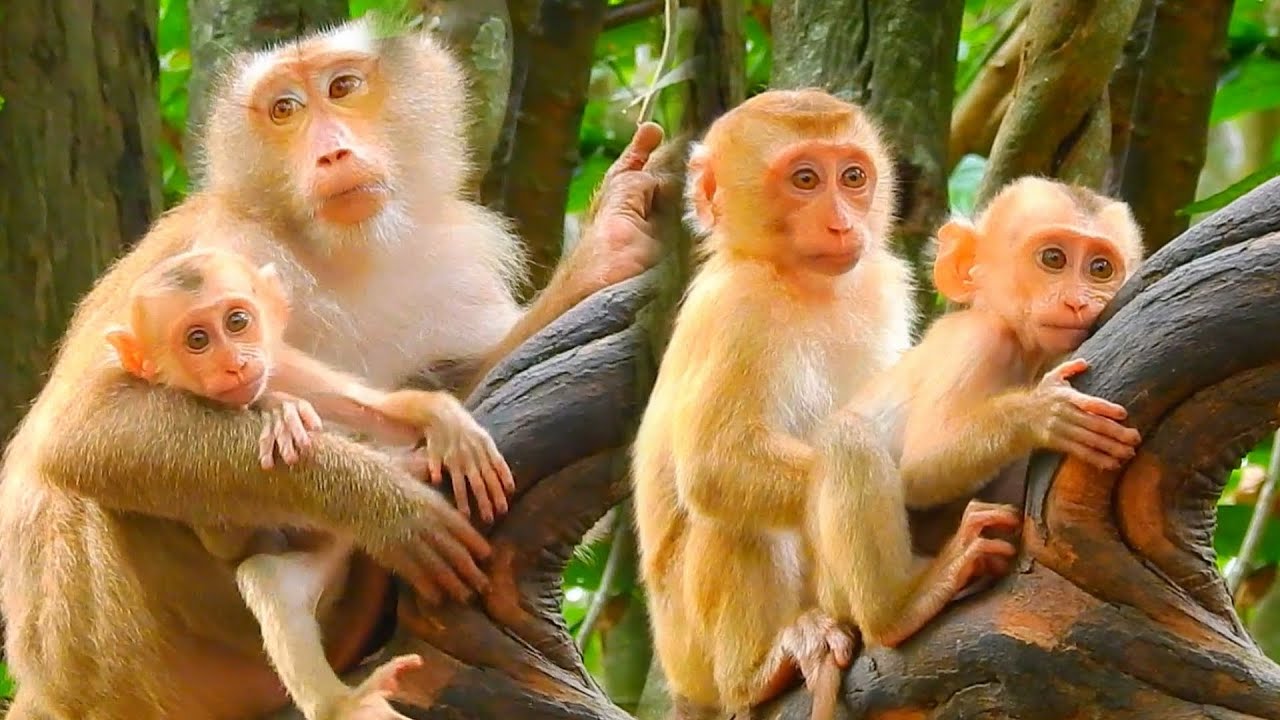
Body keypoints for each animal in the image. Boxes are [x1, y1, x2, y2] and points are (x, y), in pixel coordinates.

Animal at [0, 16, 665, 720]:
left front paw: (613, 241)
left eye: (342, 87)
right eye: (285, 109)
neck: (341, 253)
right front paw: (389, 506)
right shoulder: (219, 246)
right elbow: (85, 431)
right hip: (131, 659)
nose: (332, 154)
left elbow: (472, 386)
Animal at [630, 89, 1022, 720]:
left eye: (853, 177)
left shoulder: (885, 286)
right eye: (805, 179)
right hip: (691, 651)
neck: (808, 288)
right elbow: (717, 465)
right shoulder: (736, 310)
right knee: (732, 516)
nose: (842, 222)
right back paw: (765, 670)